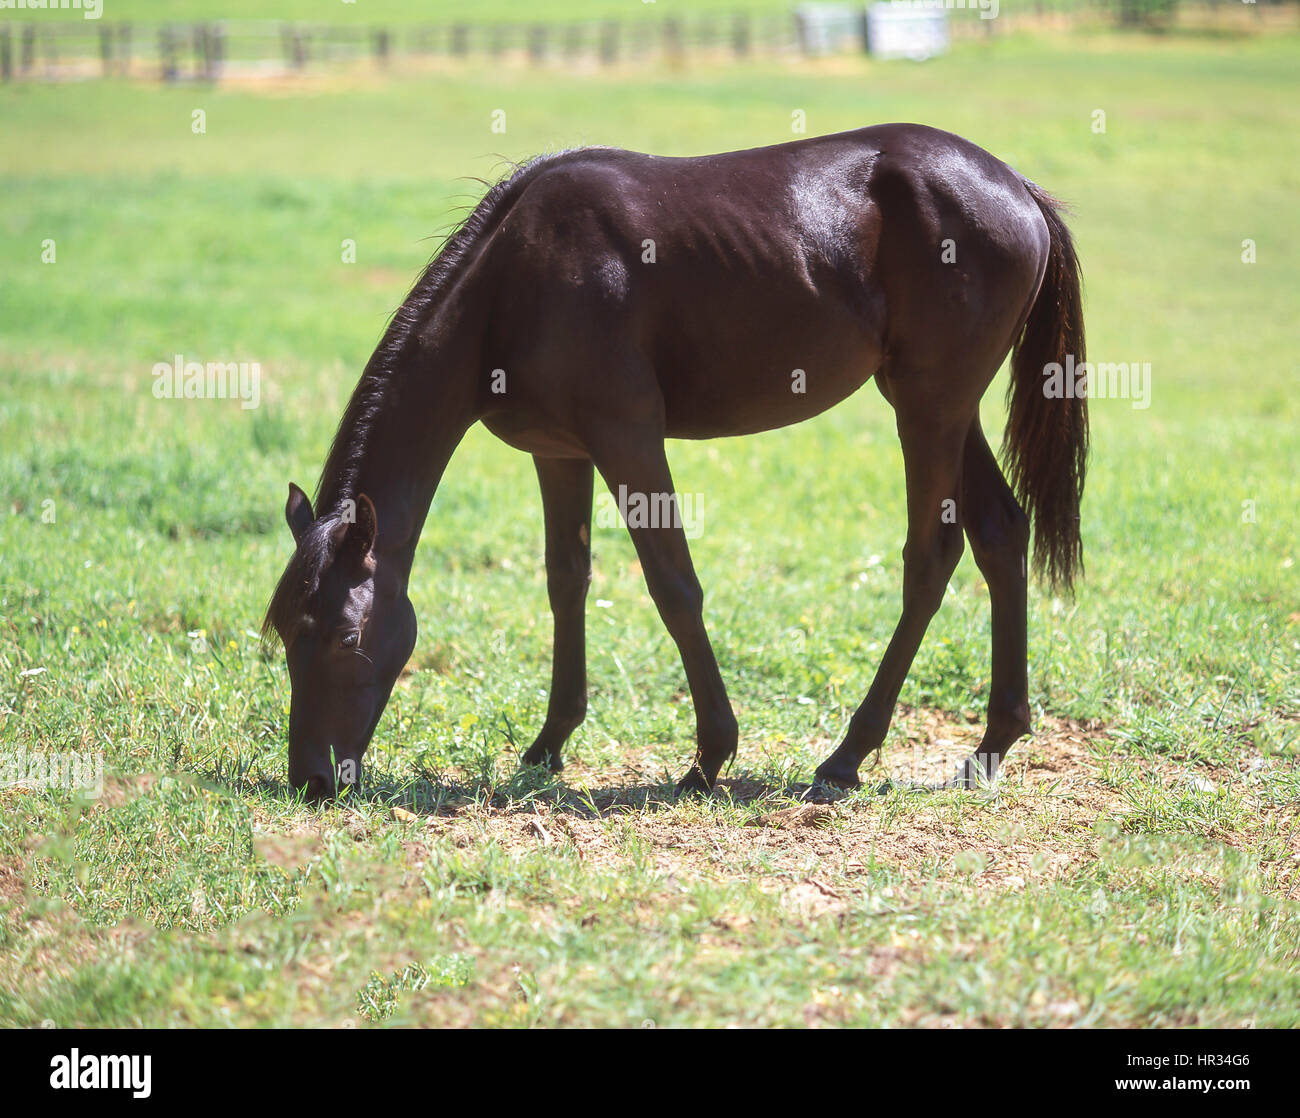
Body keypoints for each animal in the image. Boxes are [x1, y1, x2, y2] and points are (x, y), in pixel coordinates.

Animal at [262, 123, 1087, 802]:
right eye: (285, 633)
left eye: (343, 638)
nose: (312, 779)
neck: (516, 277)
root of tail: (1017, 188)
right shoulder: (560, 452)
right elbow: (567, 581)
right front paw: (550, 743)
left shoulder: (627, 438)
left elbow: (673, 587)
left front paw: (710, 756)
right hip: (942, 407)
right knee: (999, 533)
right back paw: (992, 745)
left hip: (928, 409)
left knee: (932, 555)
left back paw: (847, 756)